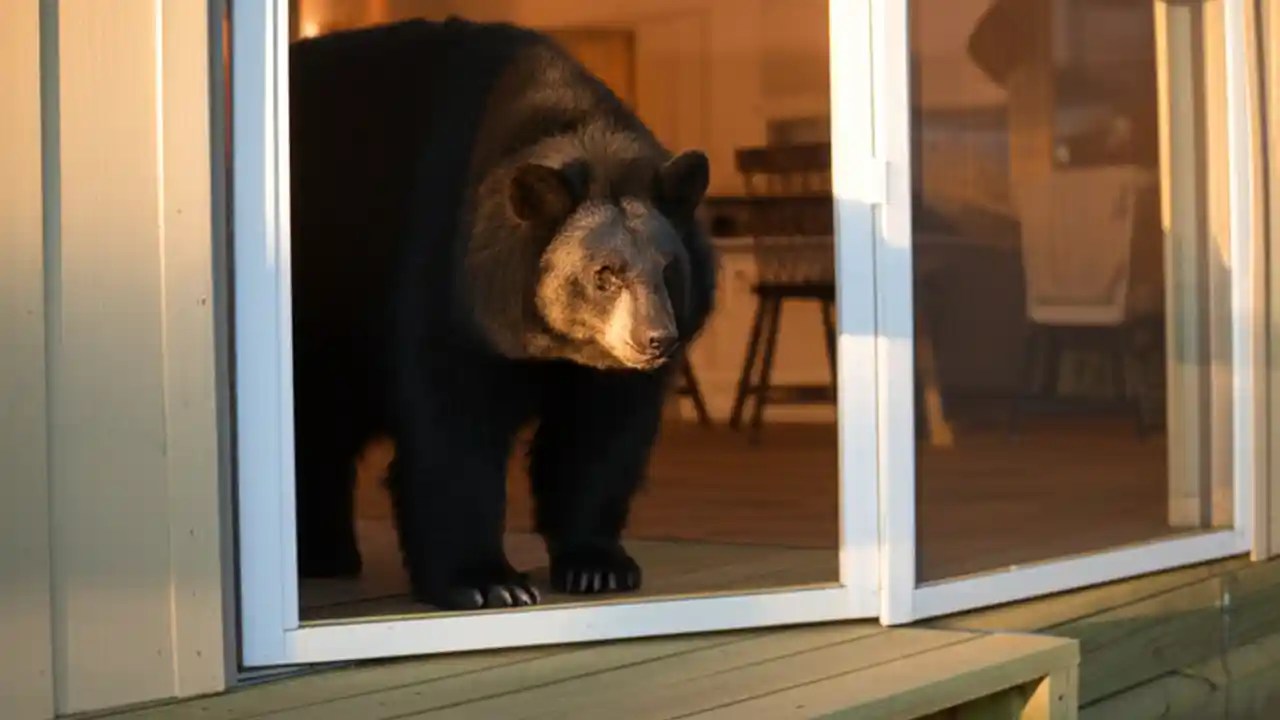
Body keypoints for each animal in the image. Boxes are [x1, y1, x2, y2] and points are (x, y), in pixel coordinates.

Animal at [288, 17, 717, 611]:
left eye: (669, 269)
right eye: (605, 274)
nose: (657, 339)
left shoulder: (607, 373)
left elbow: (600, 434)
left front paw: (599, 566)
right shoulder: (441, 278)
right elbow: (454, 425)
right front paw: (488, 582)